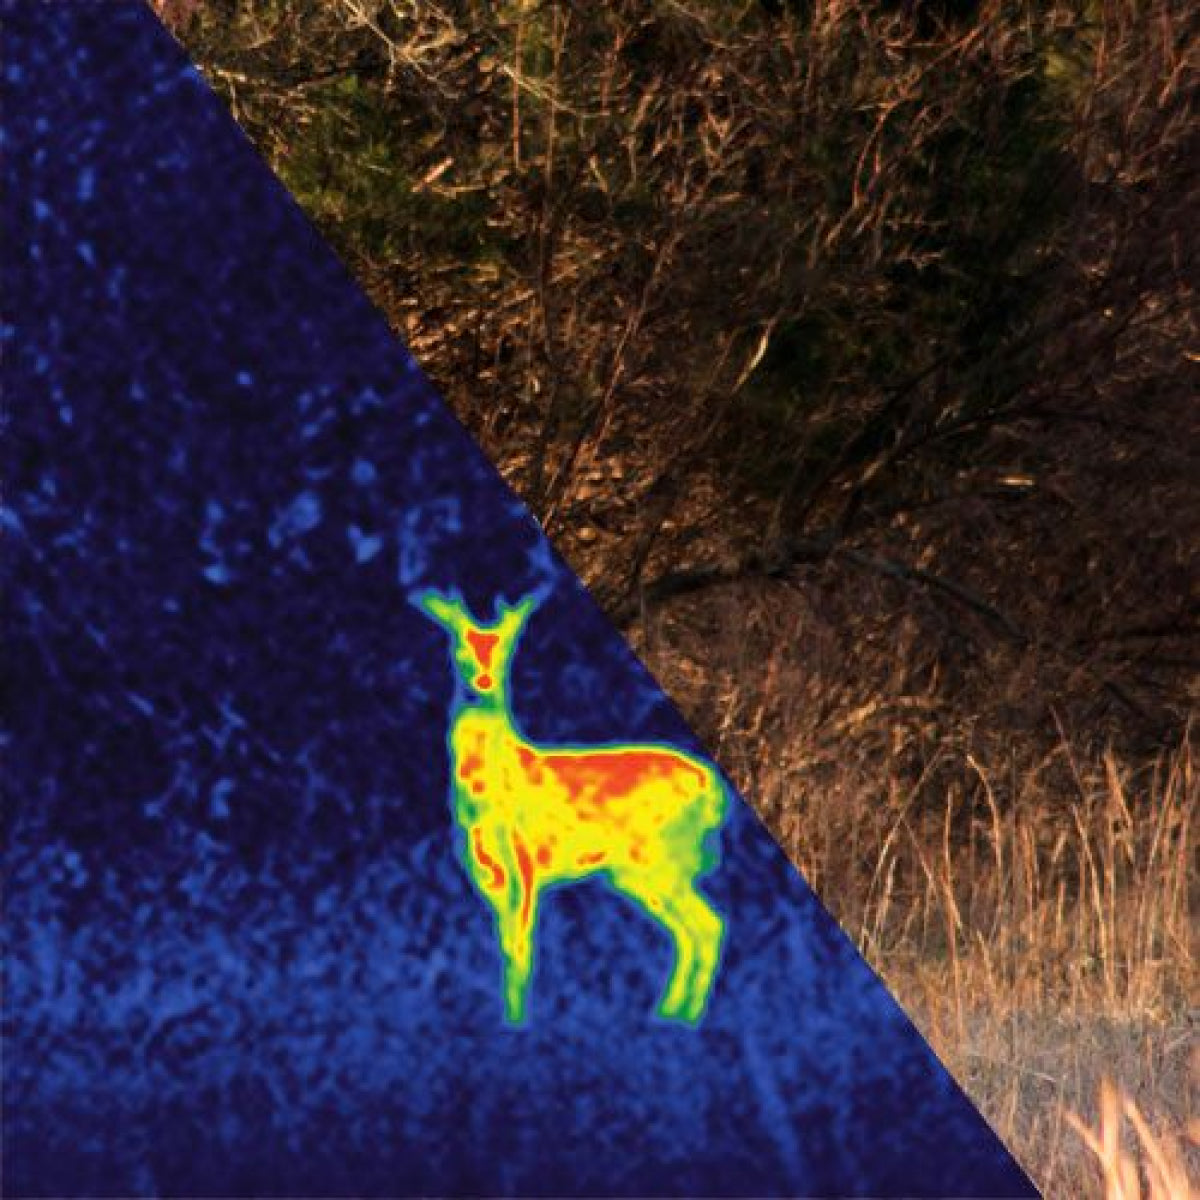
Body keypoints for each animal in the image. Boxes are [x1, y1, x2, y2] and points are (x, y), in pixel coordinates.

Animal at [411, 586, 729, 1026]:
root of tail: (713, 791)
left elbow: (522, 951)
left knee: (710, 925)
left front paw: (518, 1020)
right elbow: (507, 950)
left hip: (659, 856)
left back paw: (680, 1015)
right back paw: (669, 1012)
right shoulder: (488, 874)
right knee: (692, 930)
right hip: (640, 871)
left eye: (505, 648)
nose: (482, 680)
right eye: (459, 647)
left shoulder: (526, 863)